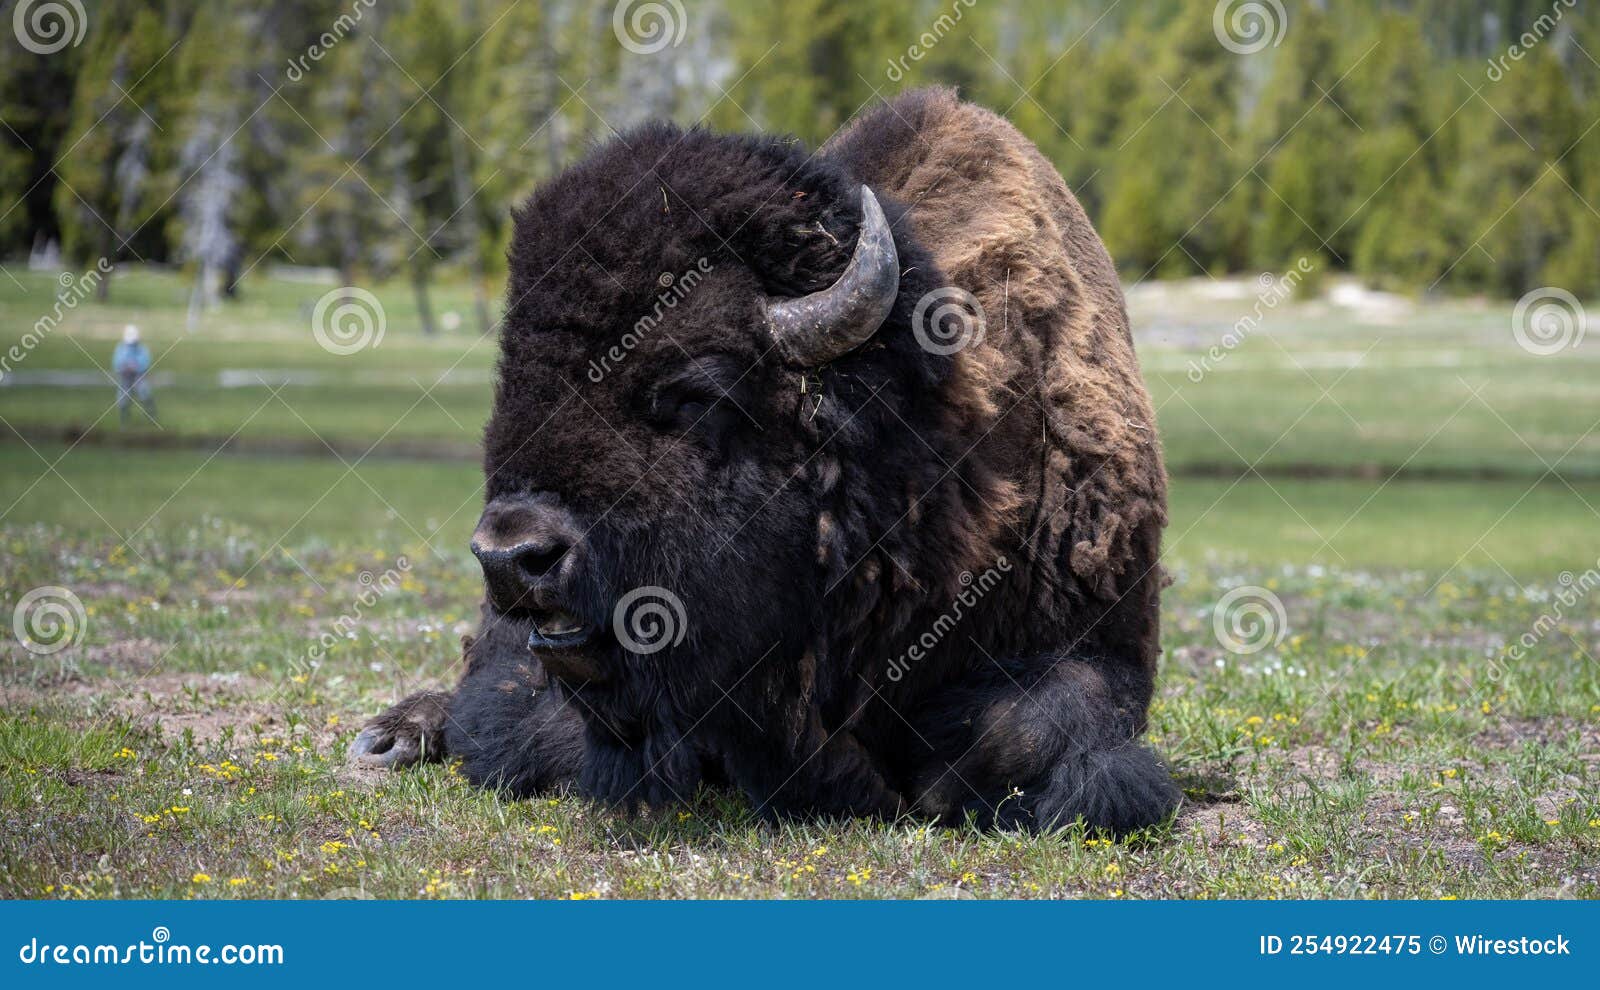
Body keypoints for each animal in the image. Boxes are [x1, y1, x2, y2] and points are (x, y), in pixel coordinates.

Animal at [351, 87, 1179, 832]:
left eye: (696, 392)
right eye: (512, 381)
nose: (510, 553)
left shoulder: (1099, 646)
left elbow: (1020, 734)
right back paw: (389, 736)